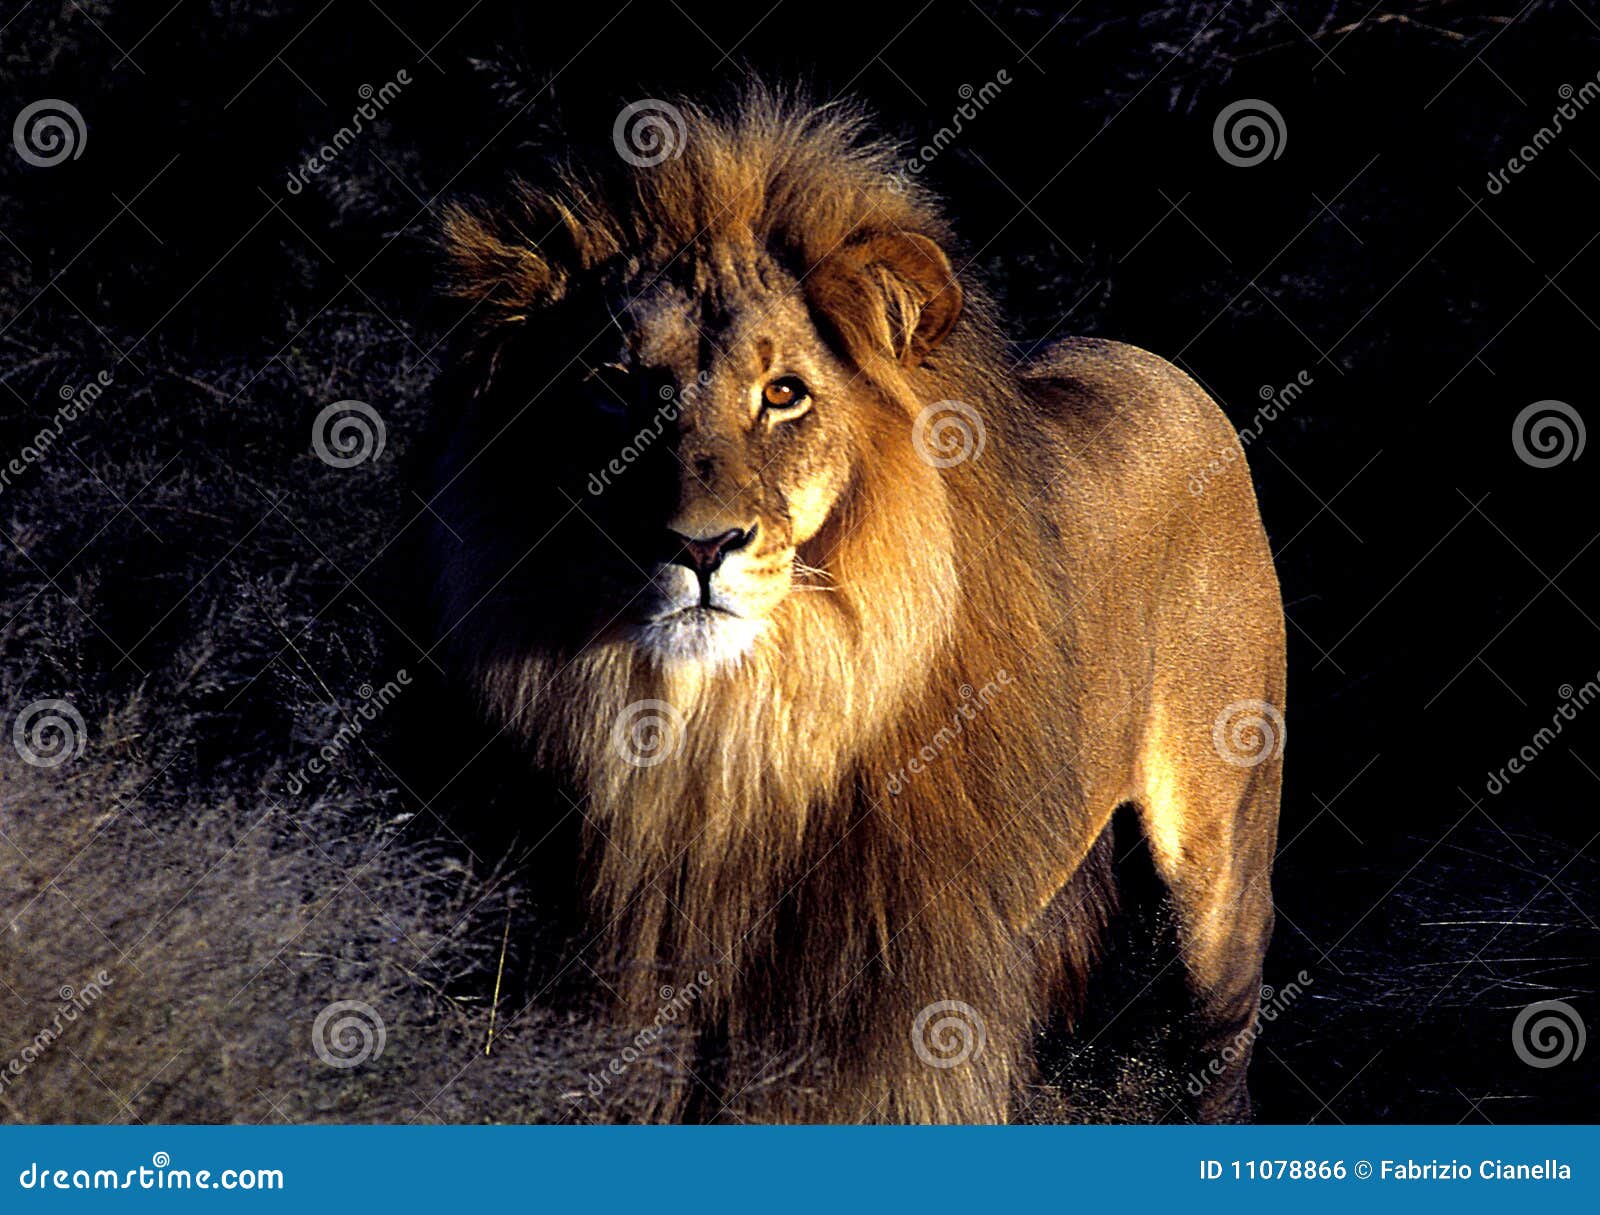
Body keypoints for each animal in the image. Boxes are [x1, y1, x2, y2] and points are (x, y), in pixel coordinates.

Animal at [424, 89, 1285, 1123]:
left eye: (784, 393)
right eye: (617, 389)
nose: (698, 546)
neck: (738, 727)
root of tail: (1161, 366)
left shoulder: (896, 974)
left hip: (1221, 867)